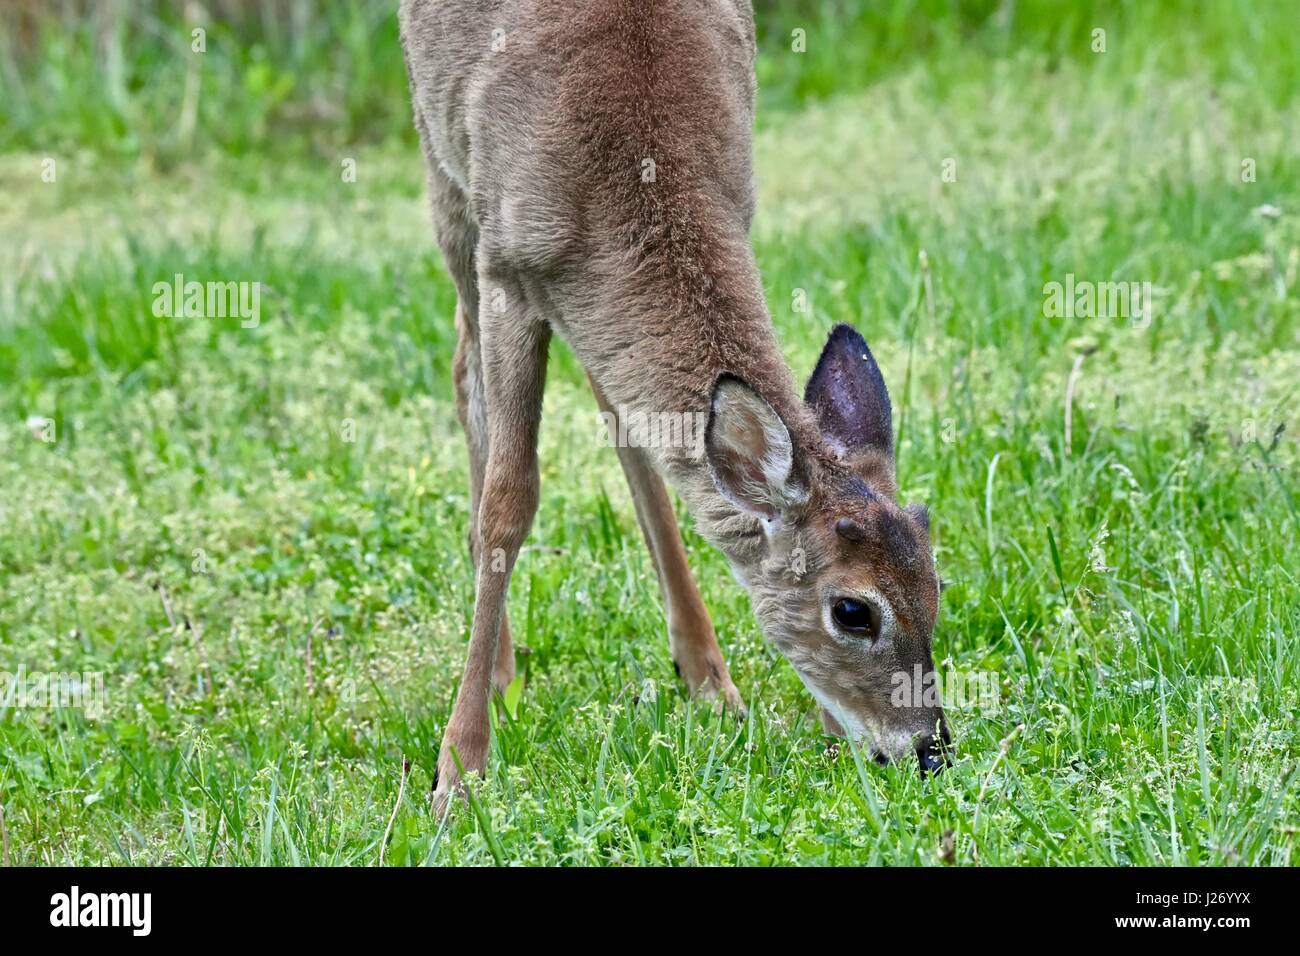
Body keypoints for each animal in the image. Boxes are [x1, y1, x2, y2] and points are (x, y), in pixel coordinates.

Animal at [399, 0, 951, 810]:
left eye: (936, 585)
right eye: (854, 610)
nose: (929, 751)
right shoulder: (507, 261)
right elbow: (508, 502)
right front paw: (459, 770)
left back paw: (708, 678)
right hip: (442, 165)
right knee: (466, 371)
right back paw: (500, 674)